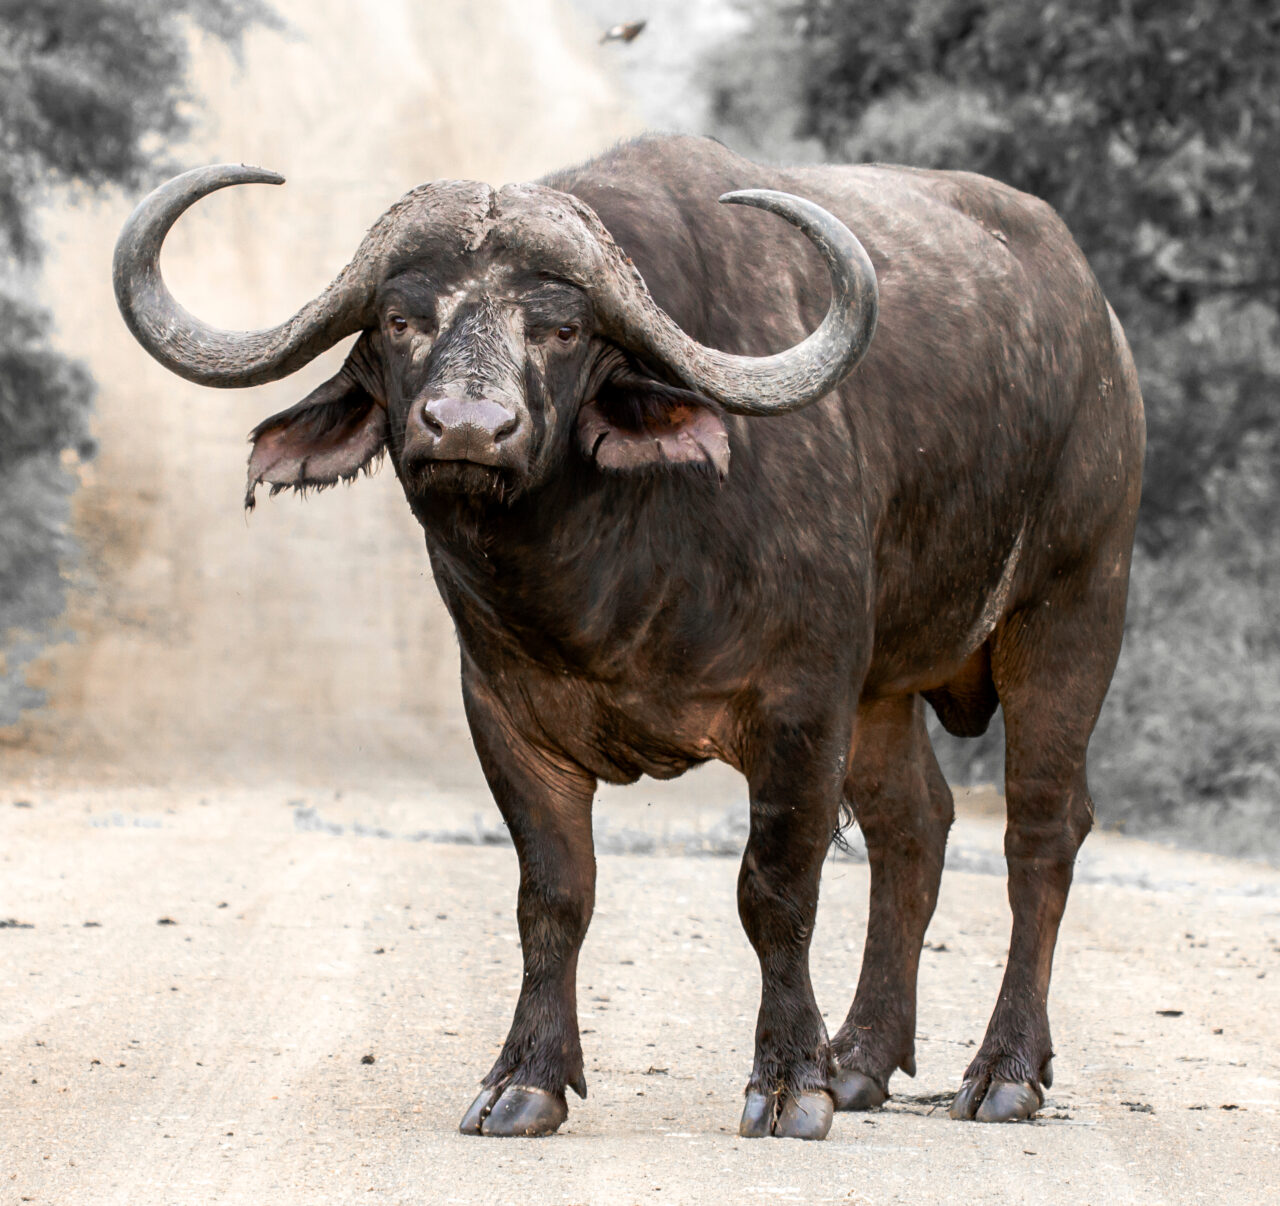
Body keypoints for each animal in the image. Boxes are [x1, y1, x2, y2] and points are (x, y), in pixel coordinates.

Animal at [114, 134, 1144, 1139]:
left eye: (561, 329)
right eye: (403, 320)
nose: (468, 429)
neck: (604, 577)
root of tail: (1107, 340)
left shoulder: (803, 702)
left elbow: (776, 890)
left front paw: (789, 1083)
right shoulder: (504, 713)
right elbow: (552, 894)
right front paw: (526, 1079)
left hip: (1074, 606)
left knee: (1040, 832)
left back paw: (1003, 1073)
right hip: (886, 689)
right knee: (914, 830)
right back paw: (861, 1059)